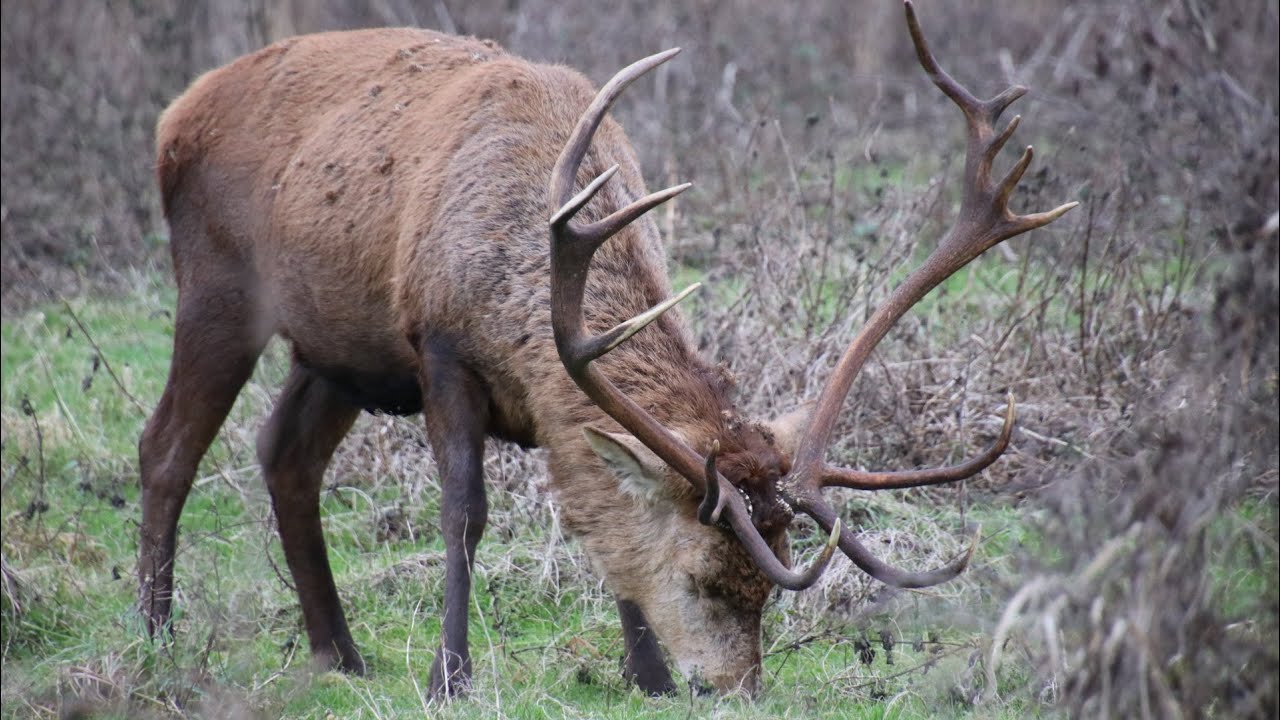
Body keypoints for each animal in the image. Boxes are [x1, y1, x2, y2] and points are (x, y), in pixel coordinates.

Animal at [138, 0, 1076, 698]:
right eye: (701, 579)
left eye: (767, 590)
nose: (733, 688)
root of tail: (174, 112)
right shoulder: (438, 344)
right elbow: (464, 510)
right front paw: (450, 676)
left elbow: (599, 518)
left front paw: (646, 673)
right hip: (219, 289)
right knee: (166, 447)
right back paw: (155, 636)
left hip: (335, 349)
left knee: (284, 453)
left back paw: (341, 654)